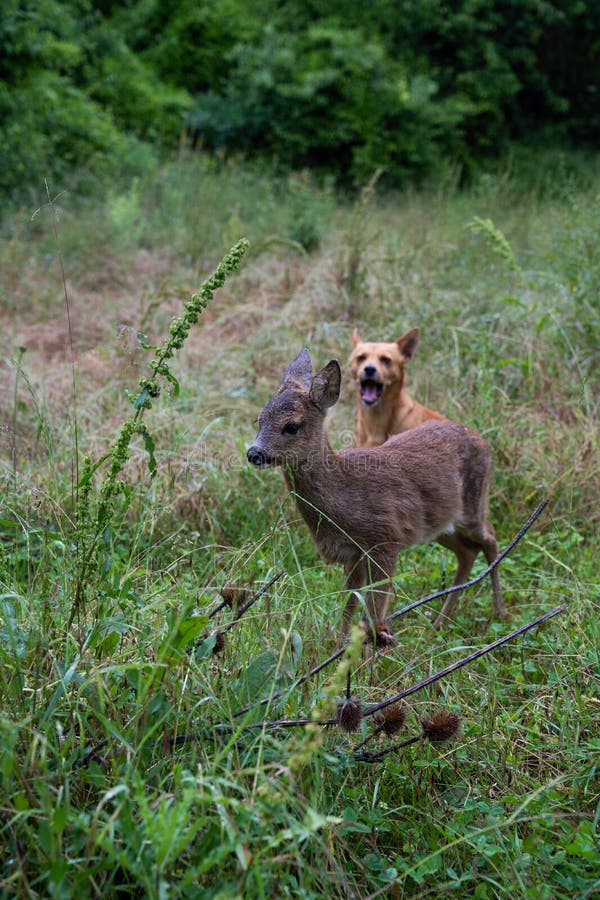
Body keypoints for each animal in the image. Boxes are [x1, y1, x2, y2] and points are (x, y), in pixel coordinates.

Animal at [246, 350, 507, 640]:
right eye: (259, 420)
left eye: (292, 426)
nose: (254, 453)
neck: (343, 495)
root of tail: (483, 442)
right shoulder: (353, 554)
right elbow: (349, 604)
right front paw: (337, 644)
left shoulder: (385, 541)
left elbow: (372, 612)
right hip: (440, 525)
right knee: (467, 552)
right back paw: (440, 623)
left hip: (473, 504)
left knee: (490, 538)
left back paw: (499, 612)